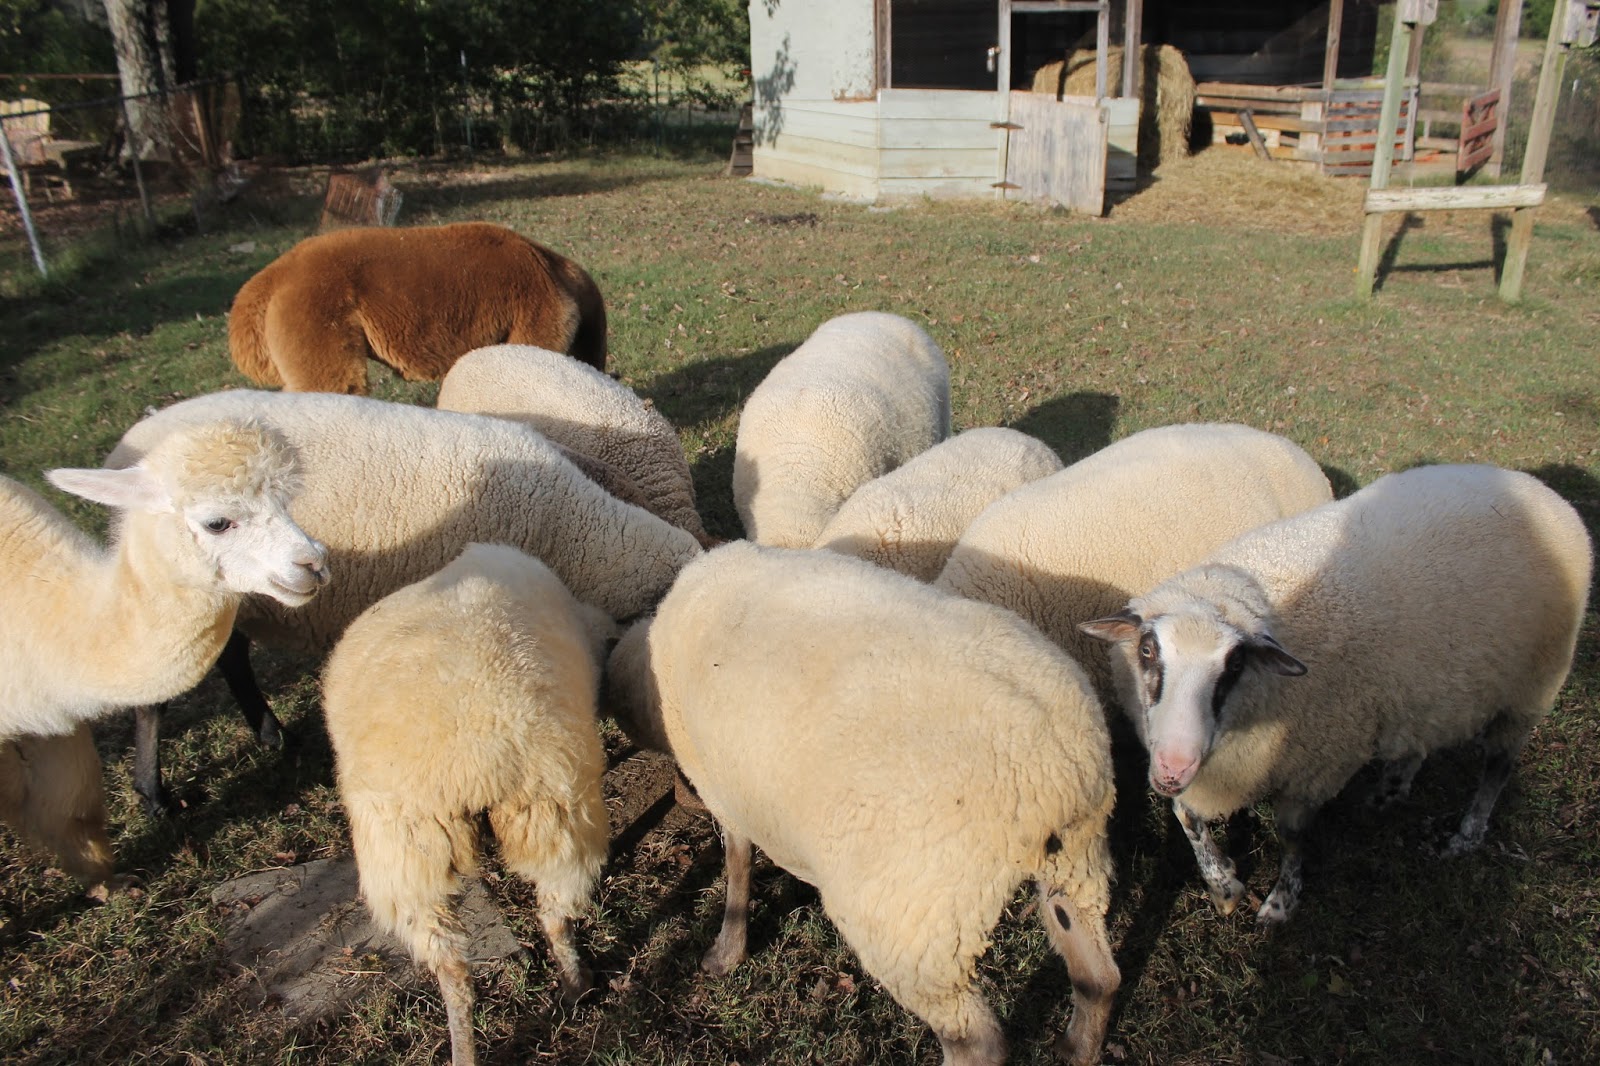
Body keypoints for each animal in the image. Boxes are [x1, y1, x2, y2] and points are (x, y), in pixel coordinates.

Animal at [106, 389, 701, 813]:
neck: (573, 531)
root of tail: (129, 443)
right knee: (157, 691)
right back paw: (155, 795)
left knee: (231, 658)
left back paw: (271, 734)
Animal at [323, 544, 614, 1066]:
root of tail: (473, 760)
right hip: (548, 813)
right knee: (551, 916)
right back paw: (572, 987)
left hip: (409, 853)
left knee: (457, 962)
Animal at [604, 541, 1120, 1066]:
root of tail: (1051, 770)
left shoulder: (724, 791)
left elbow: (737, 865)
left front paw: (725, 951)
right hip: (1077, 860)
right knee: (1099, 975)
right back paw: (1077, 1047)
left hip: (917, 928)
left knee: (977, 1043)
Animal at [1079, 464, 1594, 927]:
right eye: (1147, 650)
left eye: (1236, 665)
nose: (1174, 765)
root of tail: (1538, 488)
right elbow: (1186, 817)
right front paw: (1222, 884)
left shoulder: (1316, 764)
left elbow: (1291, 835)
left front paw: (1280, 903)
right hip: (1428, 687)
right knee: (1419, 737)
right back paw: (1391, 789)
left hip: (1533, 685)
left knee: (1497, 768)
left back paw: (1466, 836)